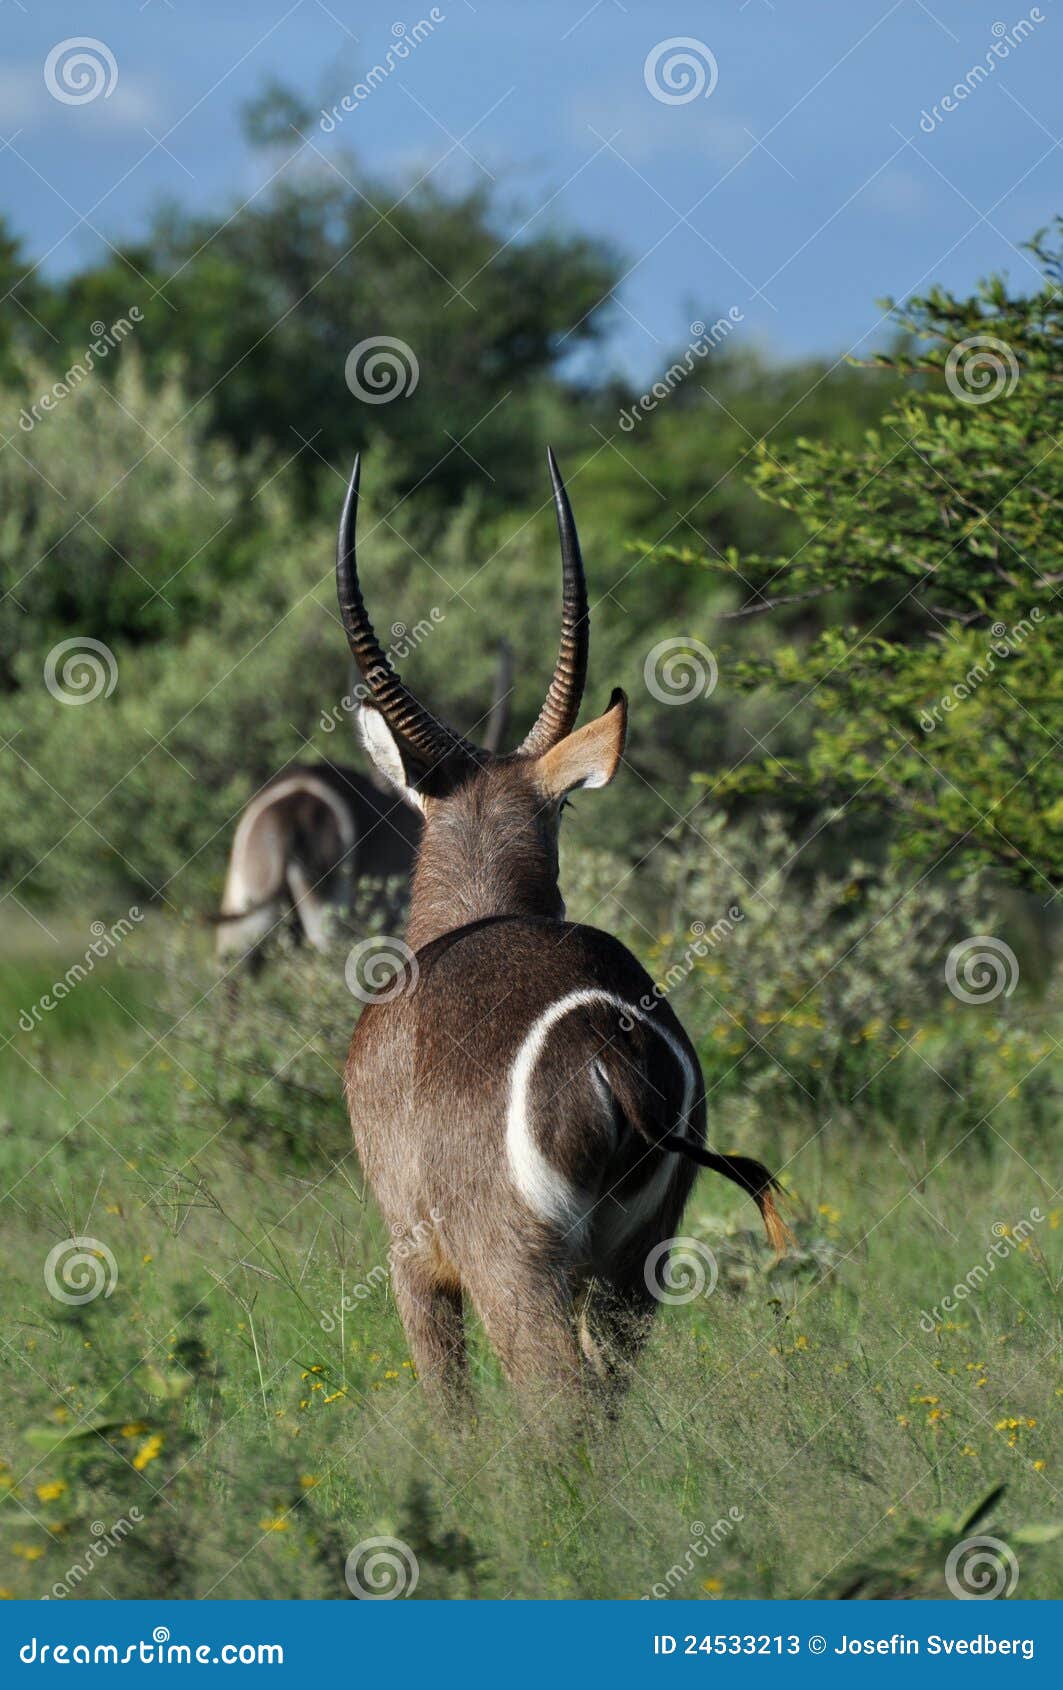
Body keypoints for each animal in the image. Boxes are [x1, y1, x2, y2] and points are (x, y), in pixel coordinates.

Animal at [337, 450, 788, 1400]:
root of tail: (605, 1046)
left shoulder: (411, 1259)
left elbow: (449, 1402)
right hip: (635, 1260)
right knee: (609, 1388)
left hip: (513, 1263)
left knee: (557, 1400)